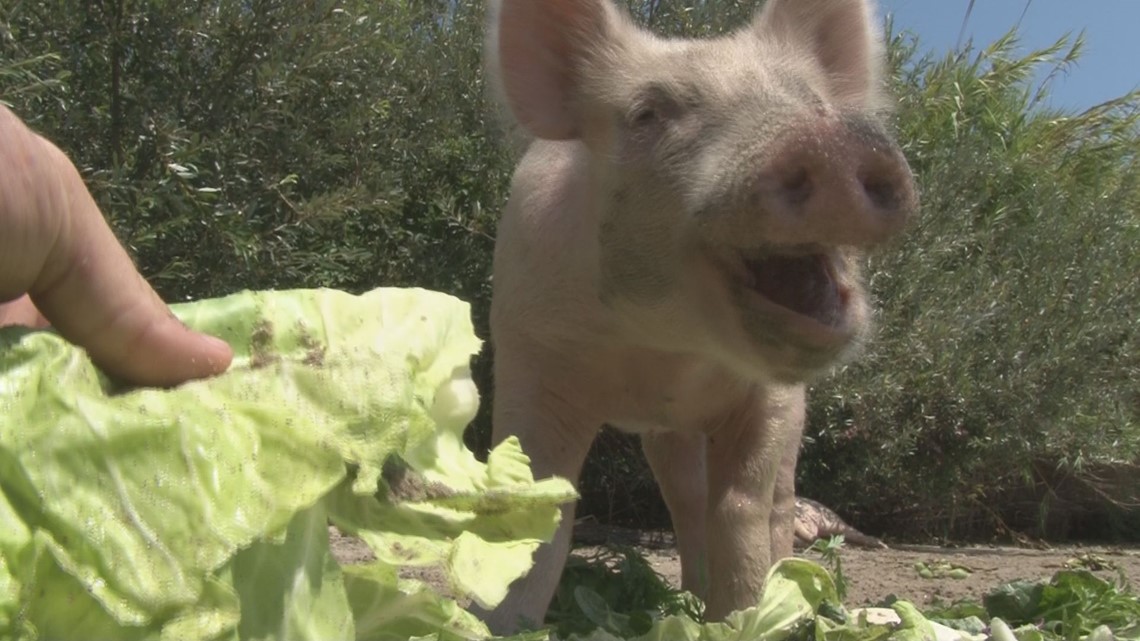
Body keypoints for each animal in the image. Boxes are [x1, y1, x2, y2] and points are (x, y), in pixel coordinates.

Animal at [477, 0, 918, 633]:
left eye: (814, 101)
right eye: (647, 113)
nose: (828, 142)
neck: (668, 351)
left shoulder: (770, 393)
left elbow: (741, 507)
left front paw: (744, 619)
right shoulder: (529, 351)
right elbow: (535, 510)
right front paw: (494, 623)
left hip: (793, 413)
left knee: (775, 500)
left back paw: (783, 593)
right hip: (667, 436)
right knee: (684, 499)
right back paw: (687, 598)